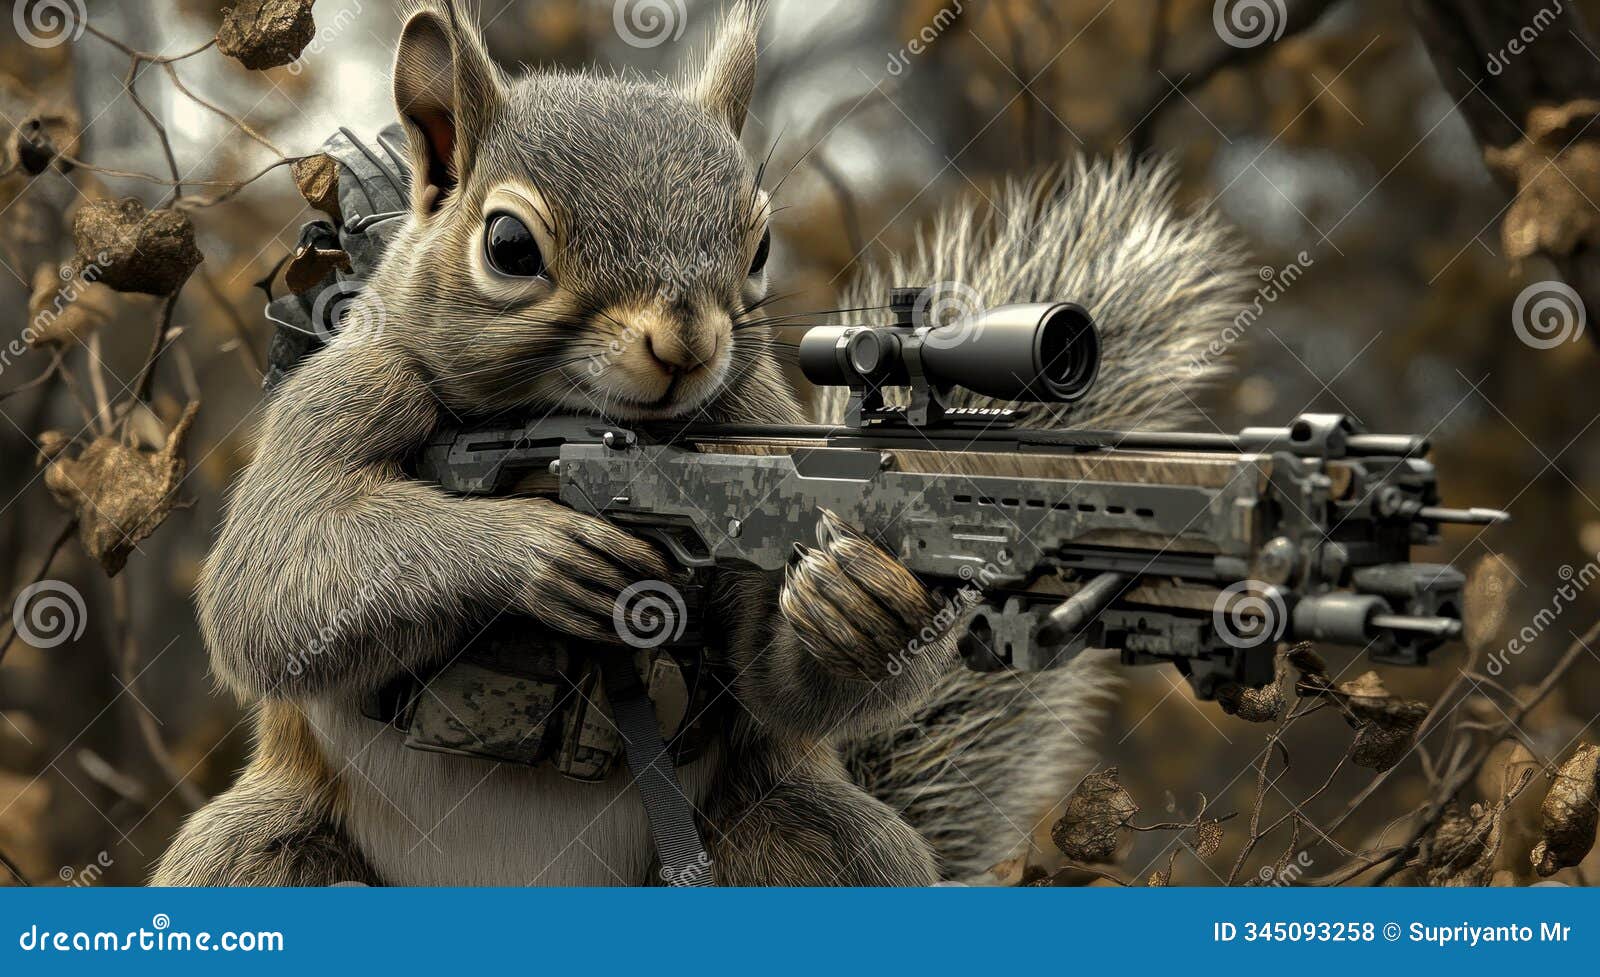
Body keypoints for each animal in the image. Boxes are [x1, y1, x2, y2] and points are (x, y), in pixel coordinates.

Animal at [151, 0, 1249, 886]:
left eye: (759, 245)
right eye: (508, 246)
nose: (685, 342)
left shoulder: (754, 425)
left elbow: (778, 680)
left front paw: (856, 599)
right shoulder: (345, 395)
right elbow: (273, 579)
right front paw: (535, 546)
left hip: (810, 835)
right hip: (262, 850)